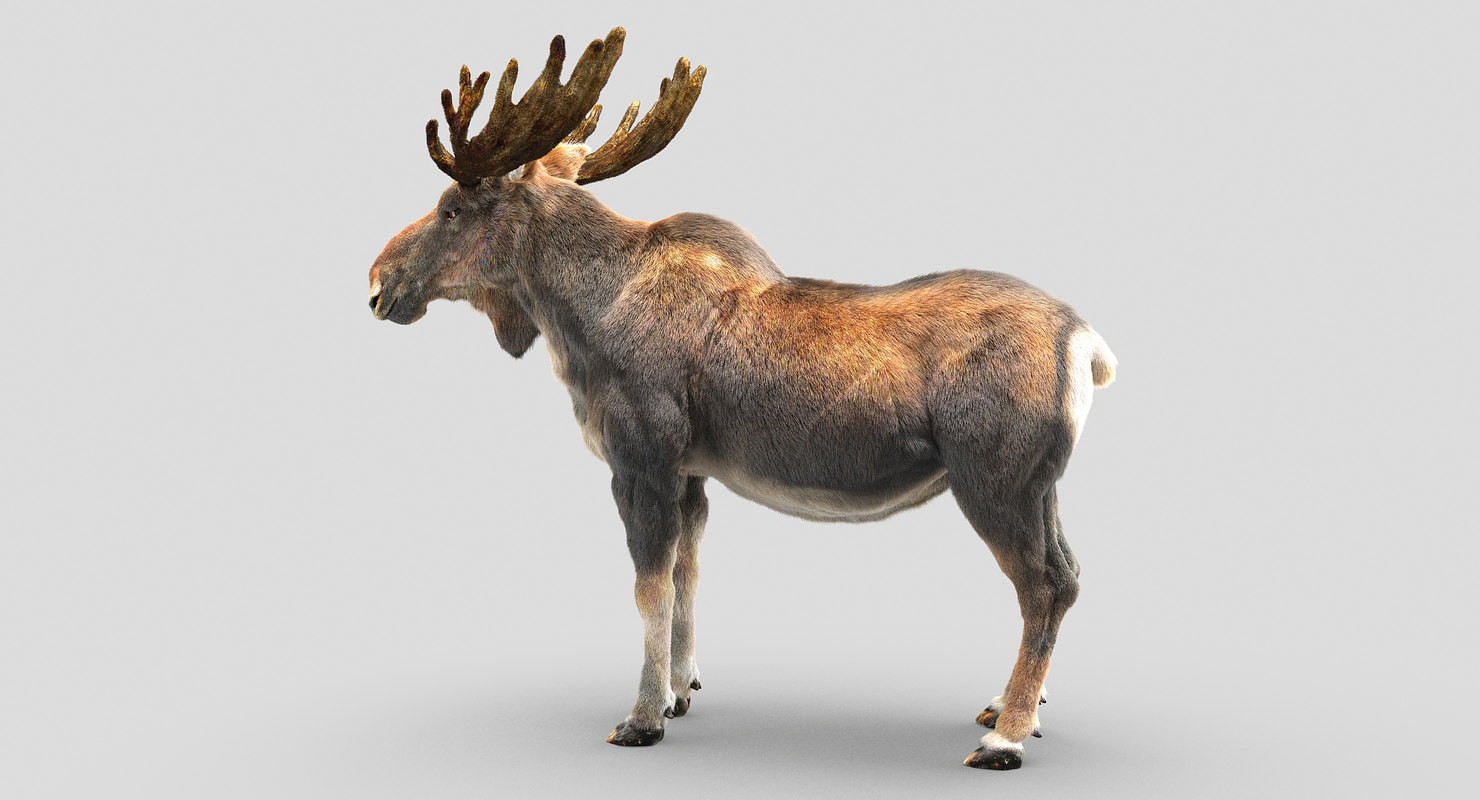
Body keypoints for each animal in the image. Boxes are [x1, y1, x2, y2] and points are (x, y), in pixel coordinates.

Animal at [366, 27, 1117, 771]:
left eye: (452, 208)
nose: (377, 283)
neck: (575, 318)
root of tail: (1088, 346)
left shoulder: (642, 459)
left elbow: (649, 586)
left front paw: (641, 718)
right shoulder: (692, 472)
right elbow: (687, 573)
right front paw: (679, 689)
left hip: (994, 476)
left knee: (1045, 584)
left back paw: (1005, 735)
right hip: (1040, 484)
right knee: (1071, 574)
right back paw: (1011, 709)